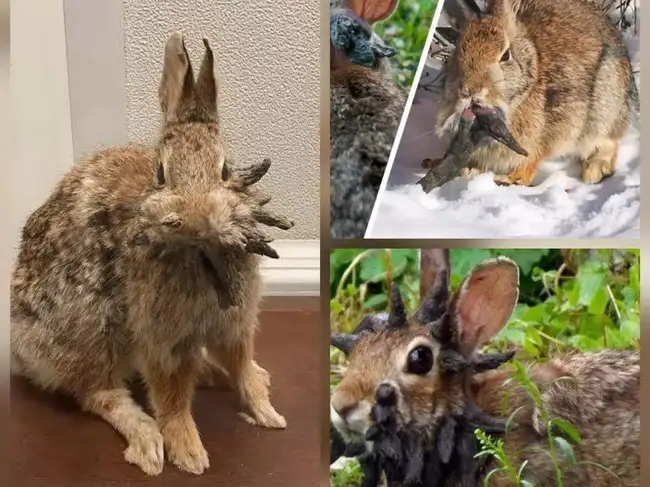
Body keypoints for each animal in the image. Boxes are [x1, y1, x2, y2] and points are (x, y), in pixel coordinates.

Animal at [10, 32, 294, 477]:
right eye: (161, 174)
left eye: (226, 170)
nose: (195, 217)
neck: (200, 253)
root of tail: (23, 354)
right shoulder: (161, 339)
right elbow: (171, 396)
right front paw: (190, 454)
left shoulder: (235, 323)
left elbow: (242, 365)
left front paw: (267, 412)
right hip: (92, 333)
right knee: (97, 393)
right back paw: (146, 440)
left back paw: (216, 375)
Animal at [435, 0, 639, 187]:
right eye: (459, 53)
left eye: (506, 56)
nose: (469, 90)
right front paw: (468, 169)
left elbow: (532, 158)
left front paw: (511, 179)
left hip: (604, 107)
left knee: (608, 141)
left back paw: (594, 170)